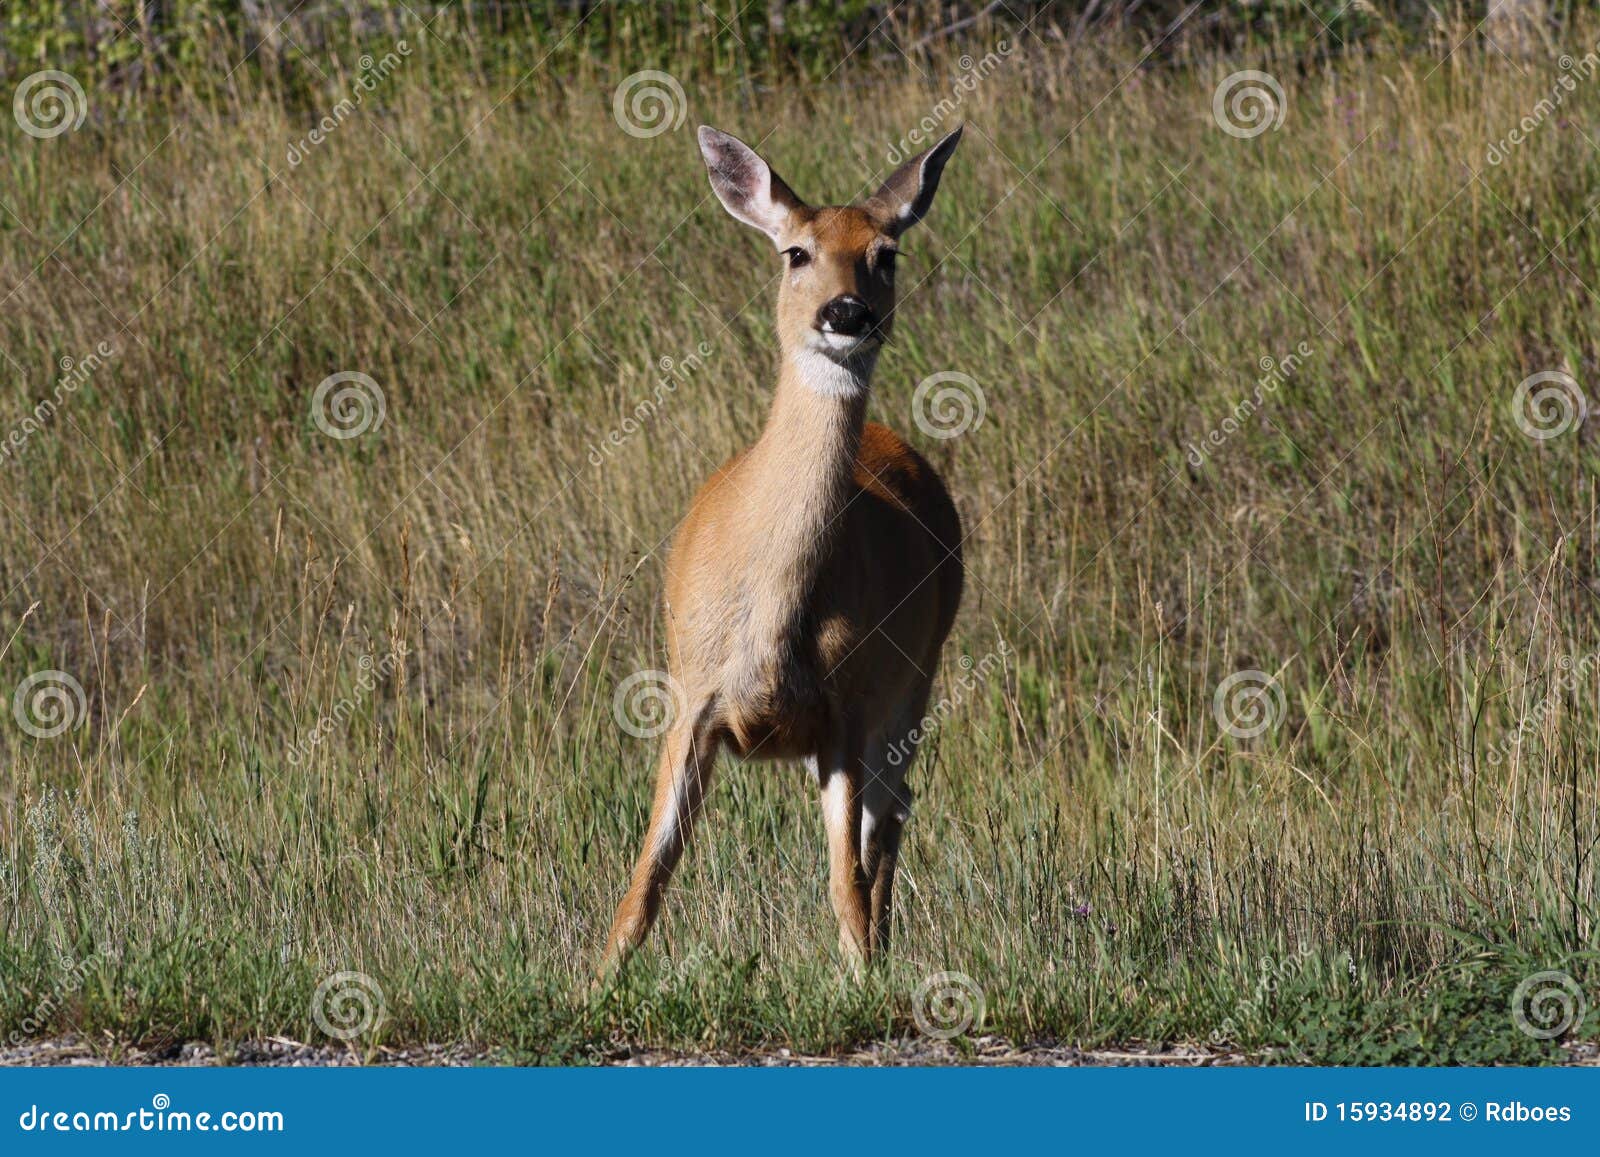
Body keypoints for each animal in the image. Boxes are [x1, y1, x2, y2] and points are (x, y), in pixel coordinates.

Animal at [600, 124, 965, 975]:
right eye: (796, 251)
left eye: (886, 253)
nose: (846, 311)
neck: (772, 608)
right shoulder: (692, 692)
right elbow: (646, 878)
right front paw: (595, 982)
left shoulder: (849, 706)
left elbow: (844, 880)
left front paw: (864, 978)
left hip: (915, 684)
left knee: (887, 823)